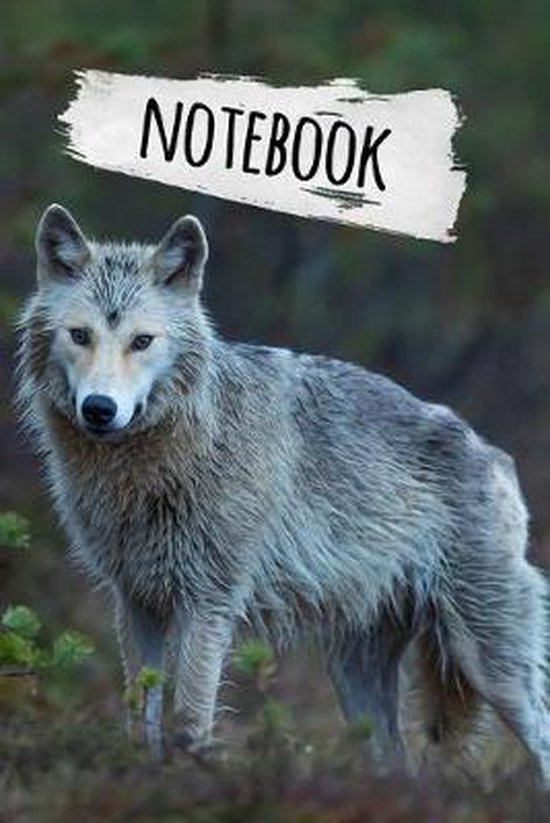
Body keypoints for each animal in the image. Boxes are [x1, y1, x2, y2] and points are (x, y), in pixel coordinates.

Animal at [16, 203, 550, 779]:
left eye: (142, 341)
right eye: (80, 335)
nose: (99, 409)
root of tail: (495, 455)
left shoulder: (209, 602)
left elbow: (189, 722)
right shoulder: (136, 601)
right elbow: (141, 718)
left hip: (490, 662)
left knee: (538, 736)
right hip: (355, 674)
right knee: (398, 764)